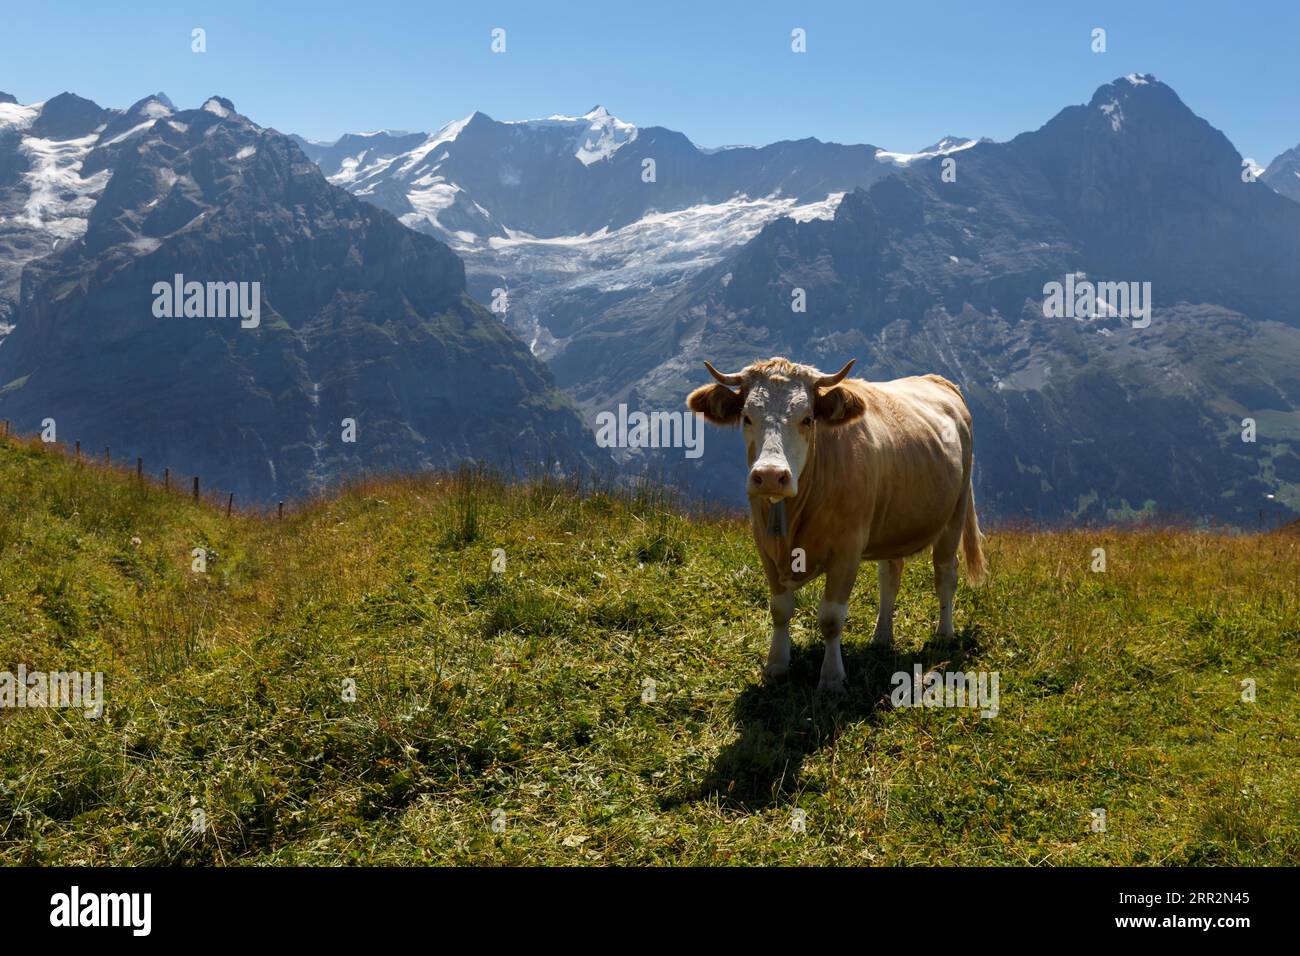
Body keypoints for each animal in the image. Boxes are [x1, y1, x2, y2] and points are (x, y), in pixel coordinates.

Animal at [686, 357, 986, 693]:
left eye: (807, 419)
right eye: (747, 417)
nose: (771, 476)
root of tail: (938, 381)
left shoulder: (847, 548)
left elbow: (831, 618)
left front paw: (831, 679)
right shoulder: (764, 546)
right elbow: (780, 610)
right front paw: (776, 665)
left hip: (955, 513)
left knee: (945, 575)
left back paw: (944, 635)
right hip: (892, 521)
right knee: (890, 575)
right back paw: (882, 637)